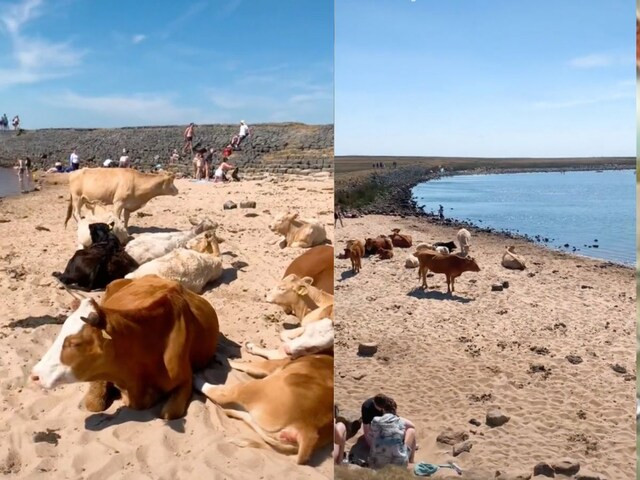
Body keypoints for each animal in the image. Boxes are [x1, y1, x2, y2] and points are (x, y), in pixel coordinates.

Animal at [193, 354, 333, 465]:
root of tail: (308, 429)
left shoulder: (272, 366)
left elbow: (245, 364)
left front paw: (224, 359)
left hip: (253, 387)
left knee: (220, 393)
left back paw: (198, 380)